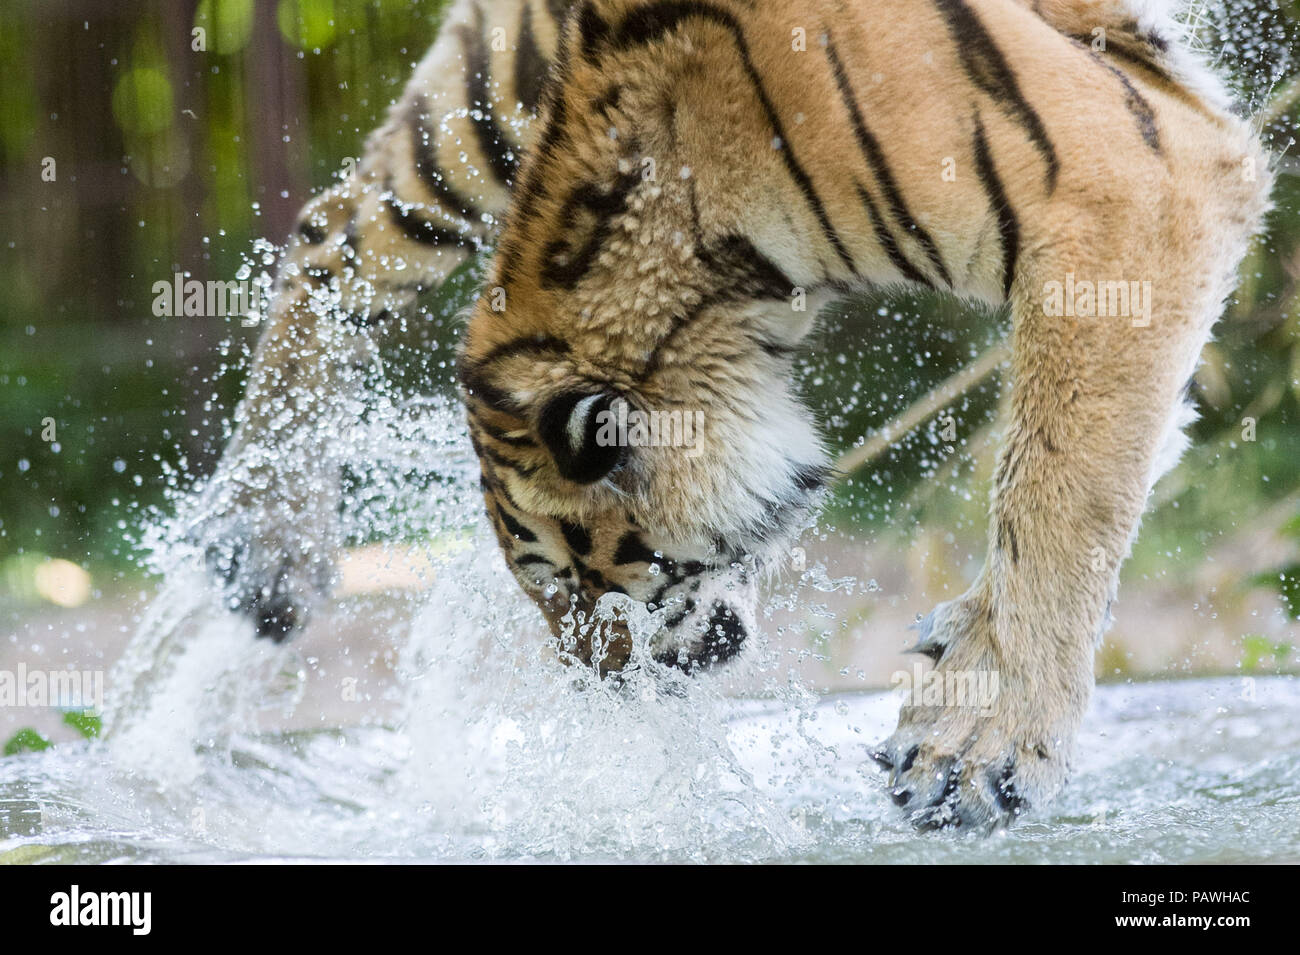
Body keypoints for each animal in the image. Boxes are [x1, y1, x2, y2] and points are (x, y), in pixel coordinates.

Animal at [201, 0, 1273, 830]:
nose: (605, 690)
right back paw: (264, 553)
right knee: (331, 233)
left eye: (576, 581)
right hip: (498, 88)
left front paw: (980, 746)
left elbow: (1058, 486)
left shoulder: (1124, 184)